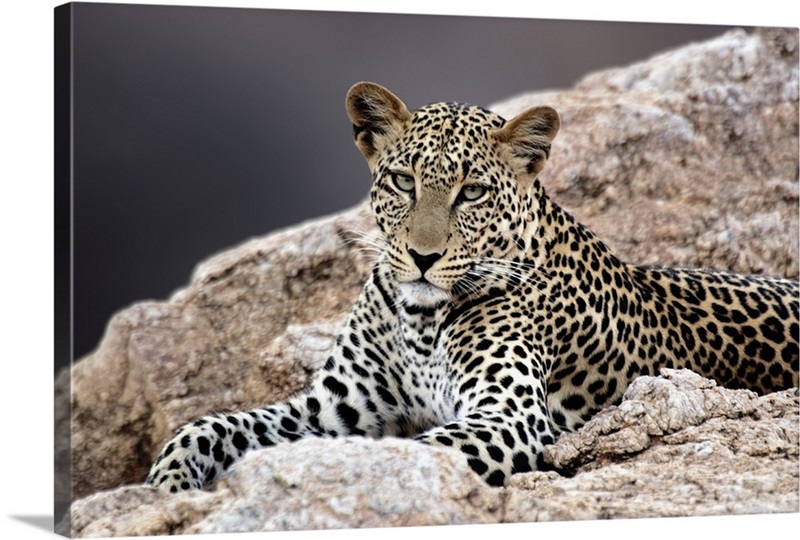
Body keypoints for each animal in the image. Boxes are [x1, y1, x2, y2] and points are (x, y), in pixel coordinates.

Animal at [147, 82, 799, 492]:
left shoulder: (507, 416)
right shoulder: (333, 407)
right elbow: (206, 426)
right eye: (403, 181)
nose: (422, 257)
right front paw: (167, 485)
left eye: (473, 193)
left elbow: (409, 453)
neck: (420, 322)